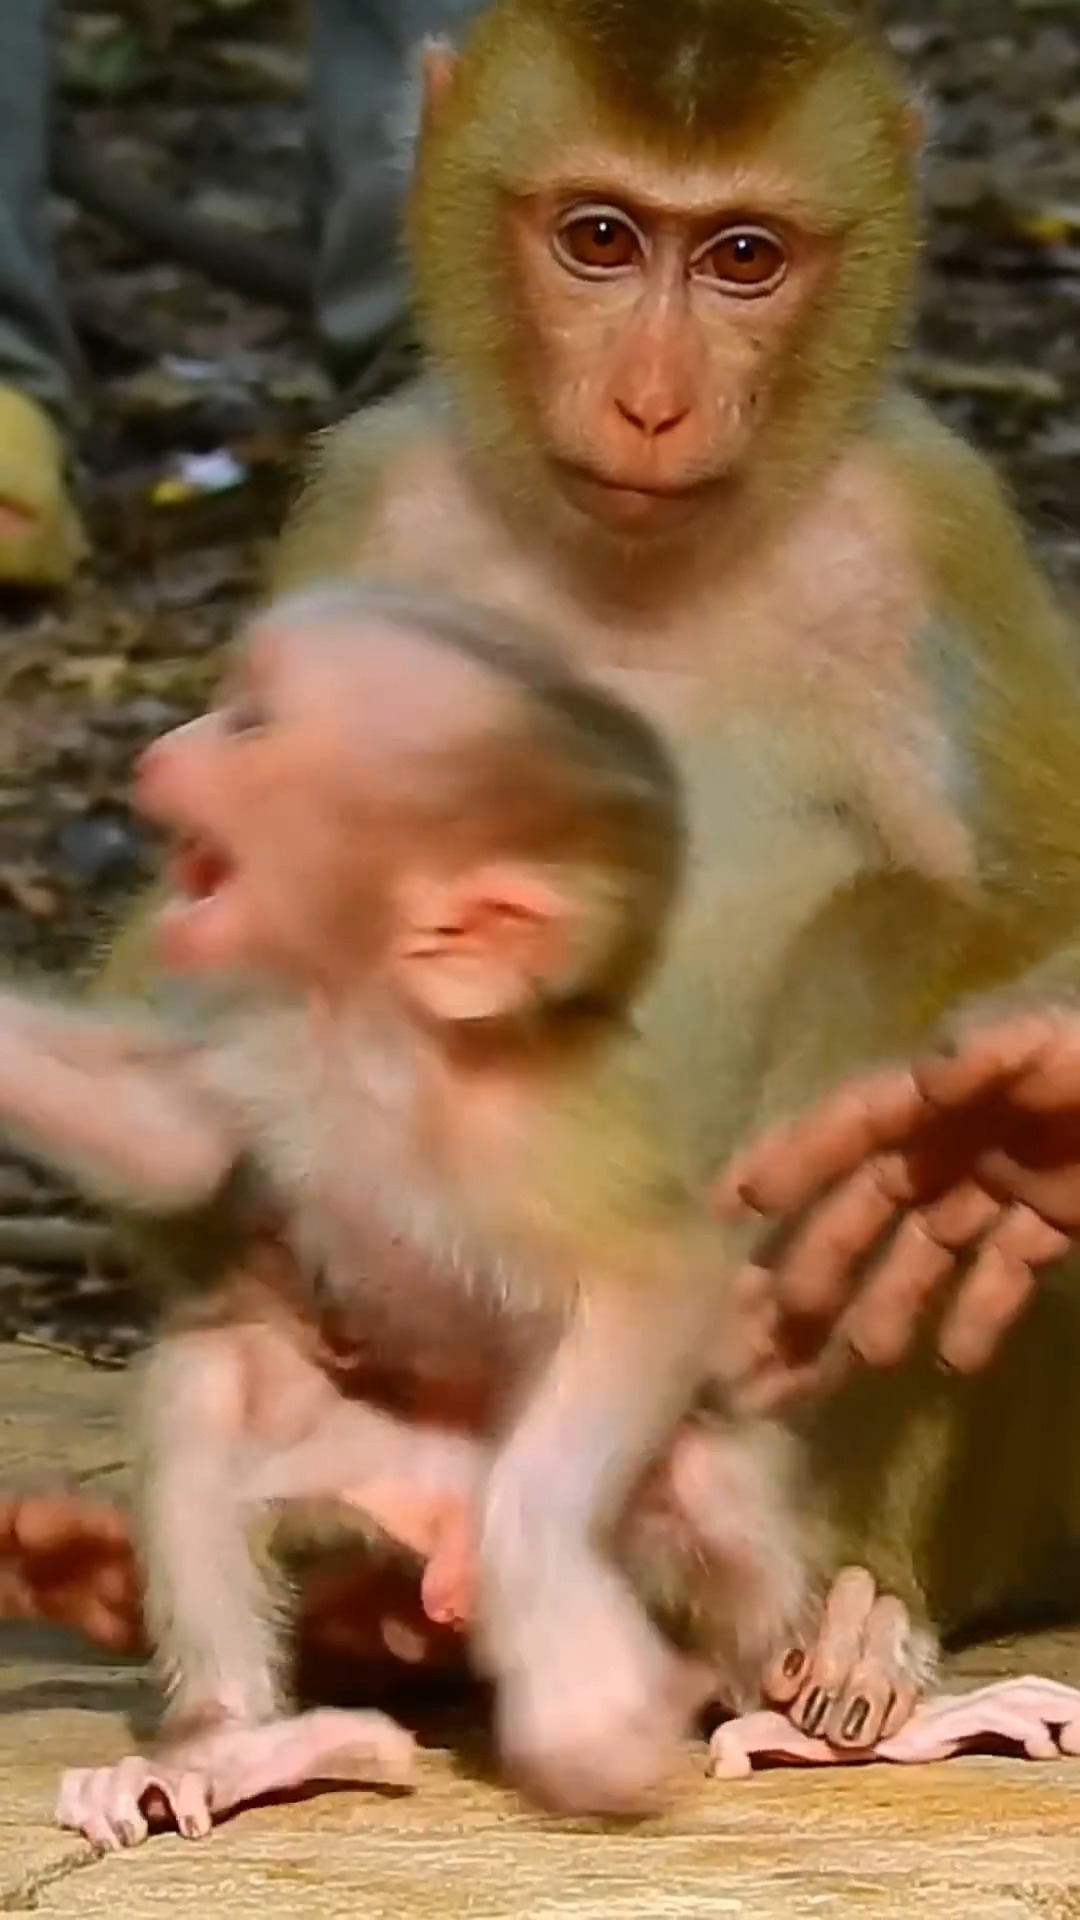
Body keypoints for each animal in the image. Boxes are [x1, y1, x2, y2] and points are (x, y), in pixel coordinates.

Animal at [14, 0, 1080, 1782]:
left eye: (742, 257)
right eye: (598, 238)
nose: (651, 403)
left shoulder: (939, 528)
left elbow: (1023, 905)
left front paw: (993, 1127)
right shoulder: (374, 497)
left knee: (895, 939)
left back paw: (858, 1624)